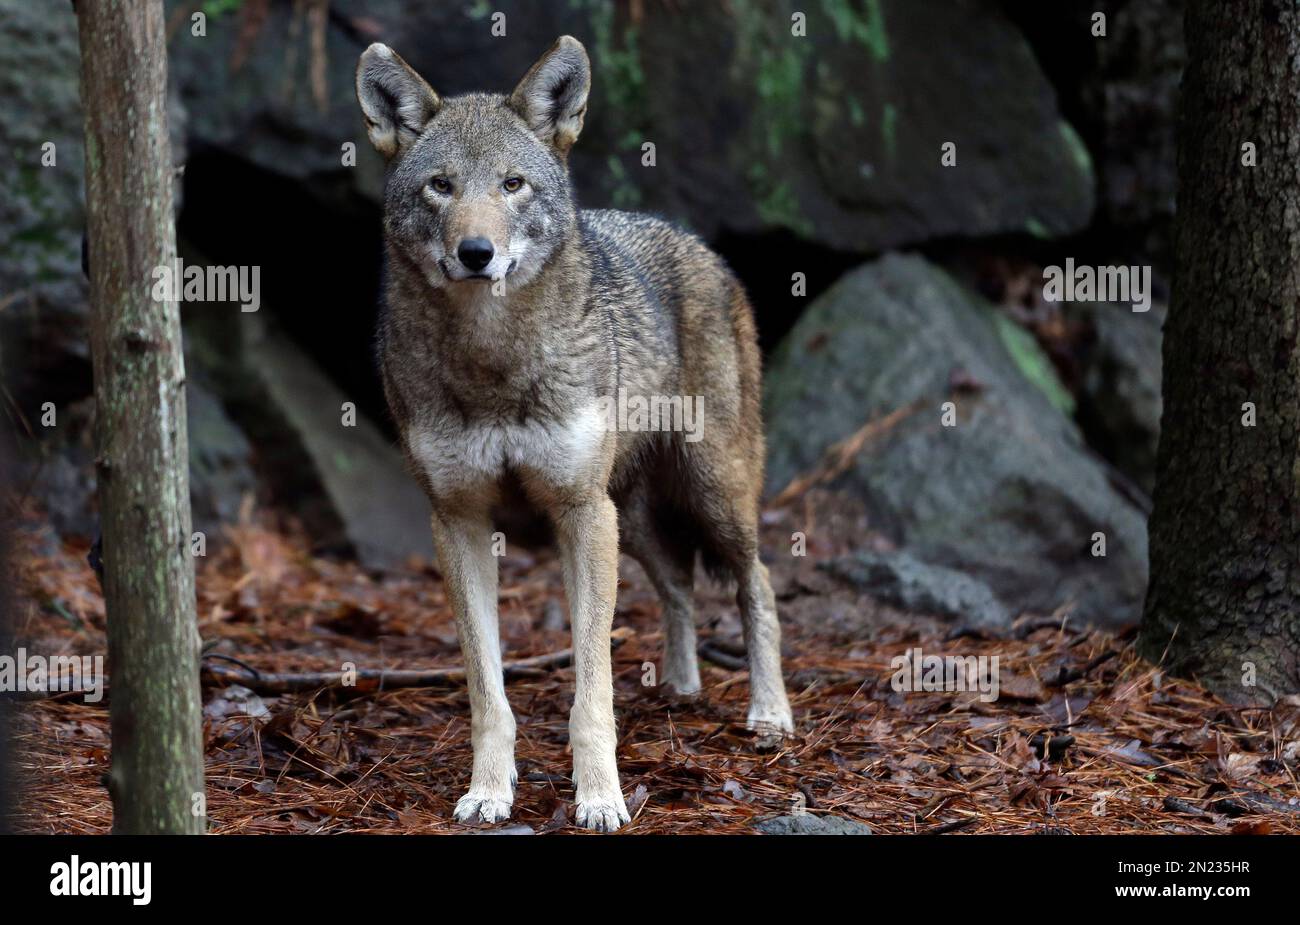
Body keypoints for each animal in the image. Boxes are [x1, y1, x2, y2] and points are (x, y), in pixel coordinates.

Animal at [355, 36, 792, 831]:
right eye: (441, 186)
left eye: (513, 184)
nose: (475, 251)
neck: (492, 362)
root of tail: (700, 245)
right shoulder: (459, 519)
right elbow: (487, 691)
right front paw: (489, 791)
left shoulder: (580, 512)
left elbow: (592, 691)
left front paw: (600, 798)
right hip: (635, 519)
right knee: (680, 585)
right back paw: (680, 689)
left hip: (708, 495)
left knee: (760, 583)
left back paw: (770, 714)